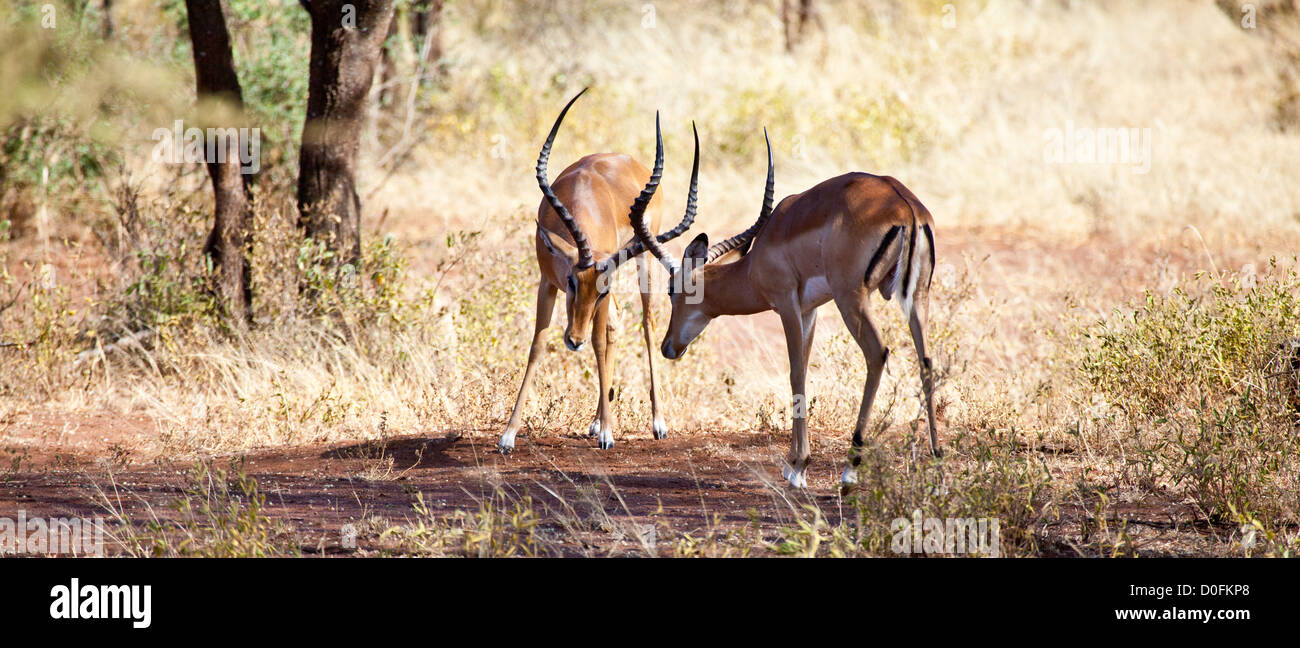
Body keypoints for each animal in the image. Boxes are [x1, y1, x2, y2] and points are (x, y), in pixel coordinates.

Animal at [498, 89, 700, 453]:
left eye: (599, 289)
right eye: (571, 281)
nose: (573, 340)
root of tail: (630, 160)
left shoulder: (606, 286)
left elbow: (598, 340)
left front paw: (608, 433)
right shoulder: (547, 283)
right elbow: (538, 345)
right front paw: (507, 436)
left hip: (646, 263)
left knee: (644, 324)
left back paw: (655, 424)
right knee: (614, 325)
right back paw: (596, 420)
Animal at [630, 132, 940, 488]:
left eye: (671, 290)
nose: (669, 347)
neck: (756, 260)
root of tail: (906, 208)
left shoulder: (787, 304)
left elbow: (795, 374)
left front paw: (798, 466)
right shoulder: (810, 311)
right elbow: (802, 368)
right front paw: (794, 464)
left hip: (852, 298)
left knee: (877, 353)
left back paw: (850, 469)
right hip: (917, 296)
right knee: (927, 362)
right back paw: (936, 462)